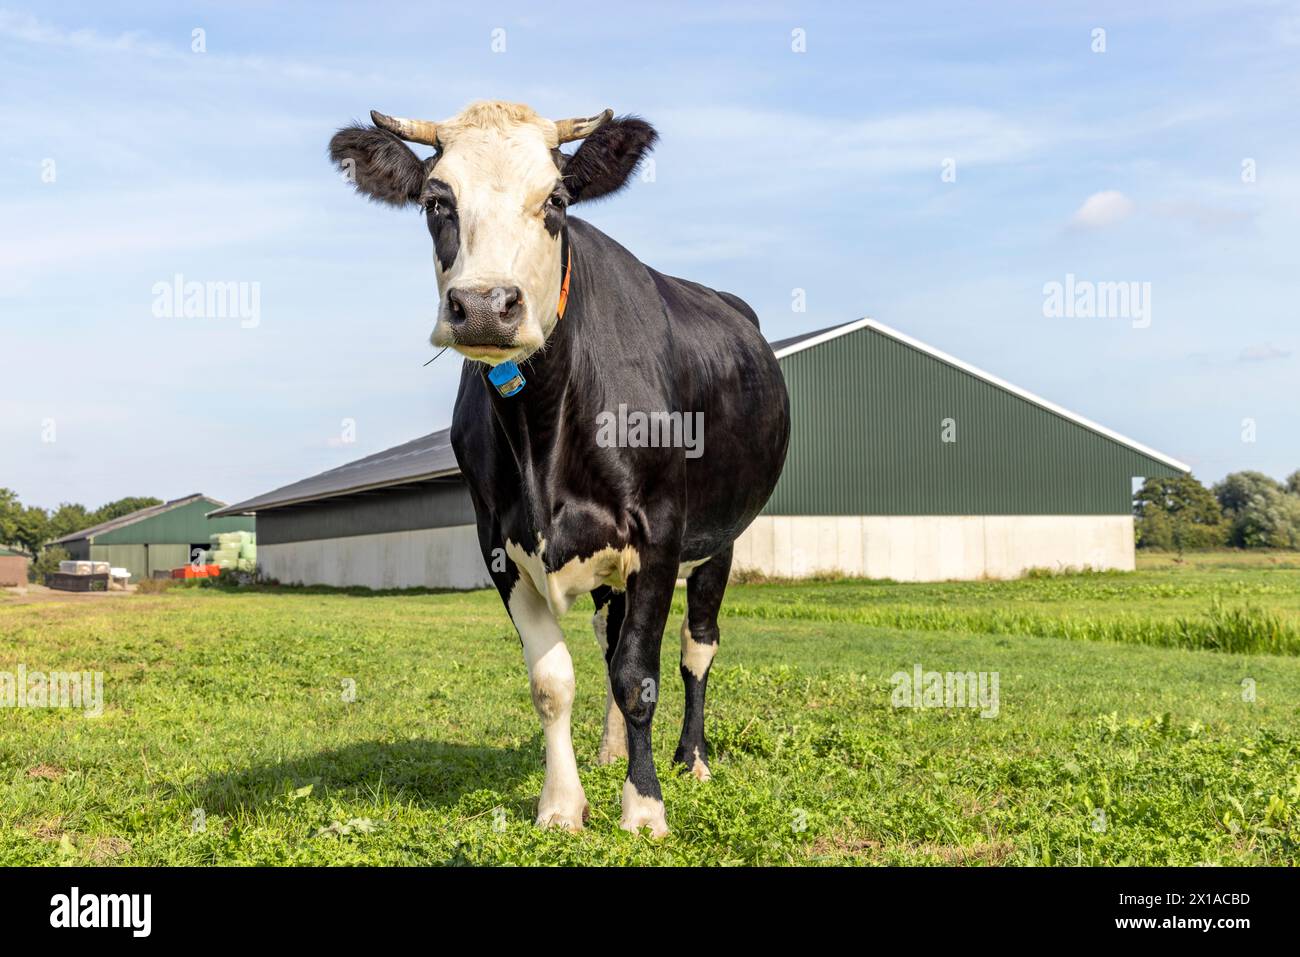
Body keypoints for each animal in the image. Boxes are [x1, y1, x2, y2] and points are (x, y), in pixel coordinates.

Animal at [329, 101, 789, 836]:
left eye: (556, 201)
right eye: (436, 201)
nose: (485, 305)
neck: (542, 425)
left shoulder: (659, 533)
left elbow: (640, 675)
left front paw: (644, 807)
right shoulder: (498, 542)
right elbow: (554, 681)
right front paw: (562, 804)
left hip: (722, 536)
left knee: (696, 648)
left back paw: (690, 757)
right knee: (610, 635)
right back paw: (611, 750)